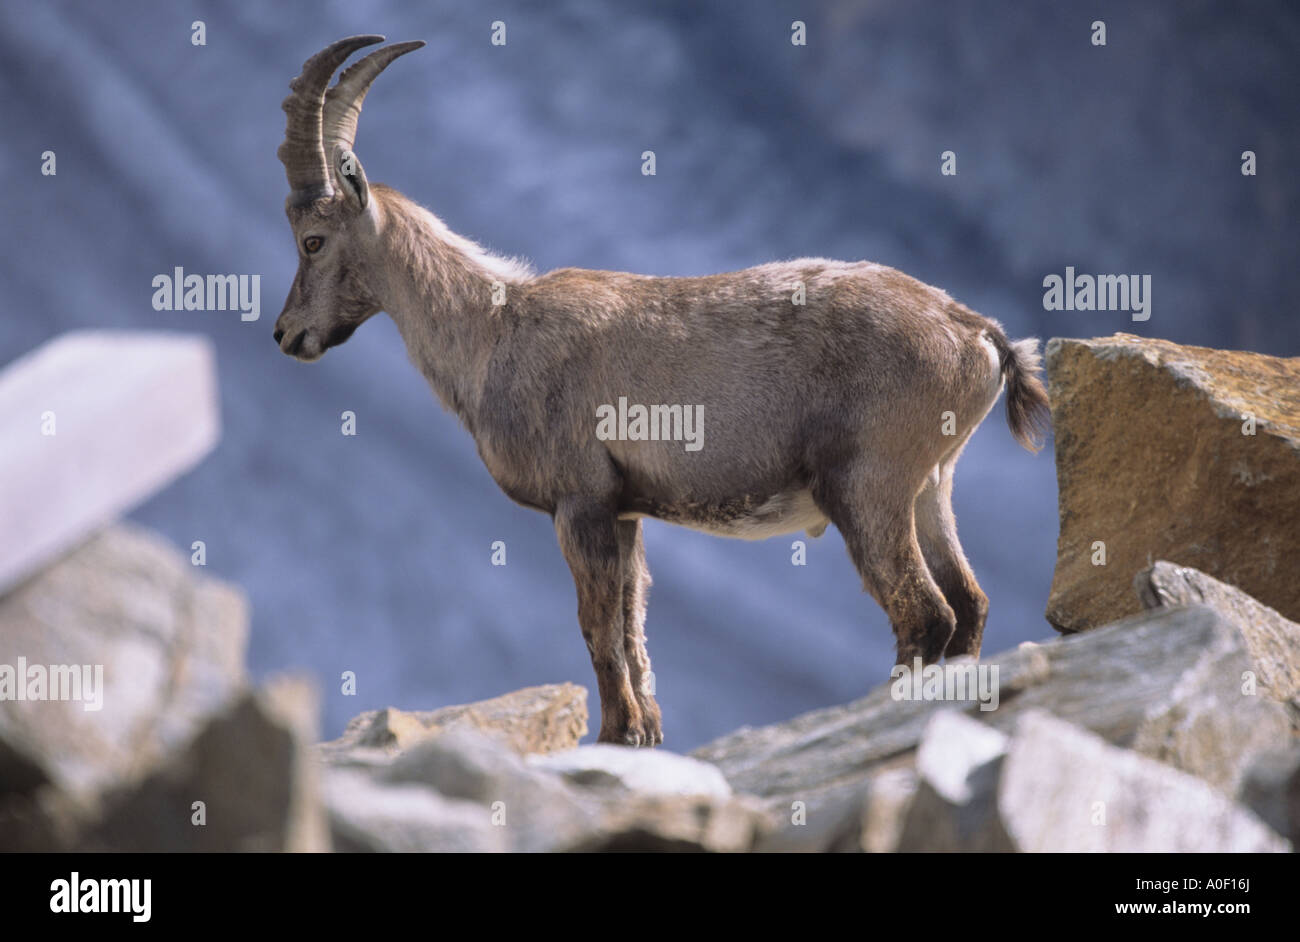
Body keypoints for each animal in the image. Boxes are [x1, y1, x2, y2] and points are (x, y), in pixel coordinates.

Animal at [273, 36, 1051, 746]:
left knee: (925, 611)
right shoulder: (625, 510)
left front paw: (615, 737)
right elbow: (632, 623)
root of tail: (976, 332)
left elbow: (597, 627)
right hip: (932, 485)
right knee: (969, 603)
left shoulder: (580, 502)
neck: (494, 331)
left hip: (868, 485)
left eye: (313, 239)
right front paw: (643, 732)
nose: (286, 334)